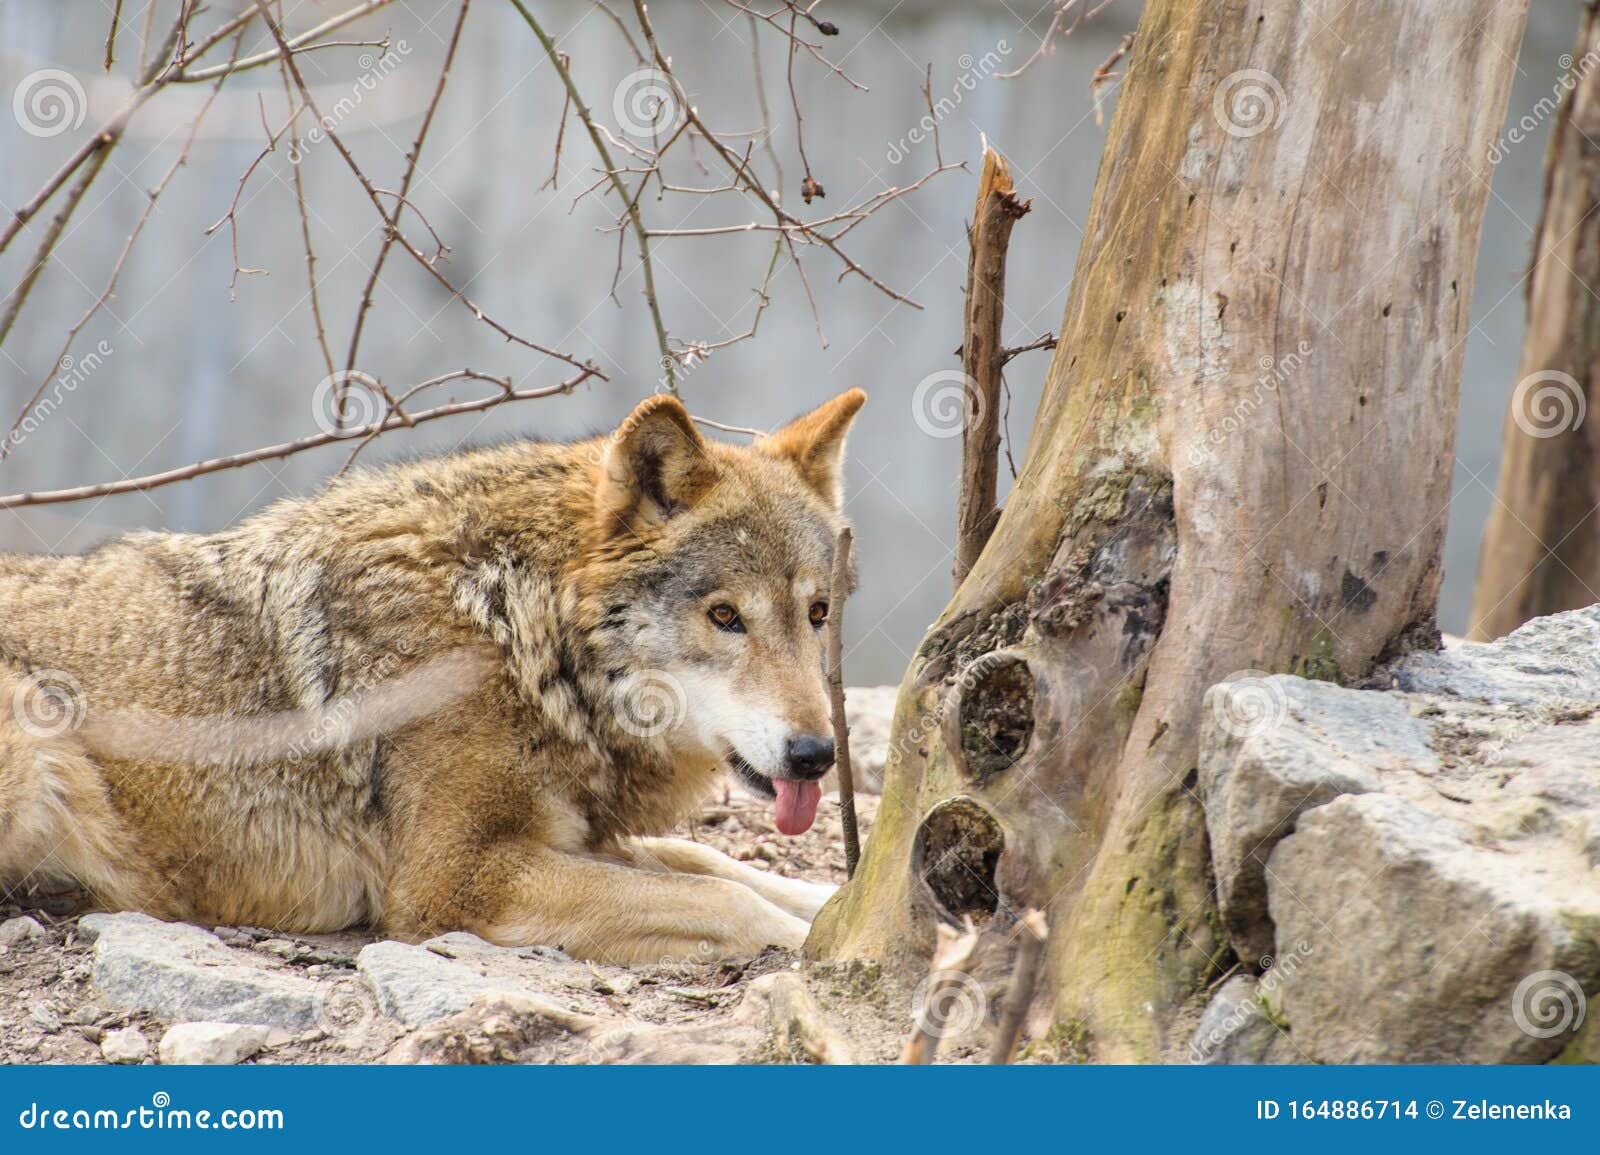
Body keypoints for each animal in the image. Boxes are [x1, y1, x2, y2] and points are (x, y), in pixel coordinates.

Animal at [0, 388, 865, 963]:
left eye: (817, 612)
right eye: (726, 615)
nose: (816, 754)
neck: (515, 627)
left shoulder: (567, 835)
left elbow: (716, 864)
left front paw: (844, 905)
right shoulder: (453, 880)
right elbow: (723, 896)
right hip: (30, 739)